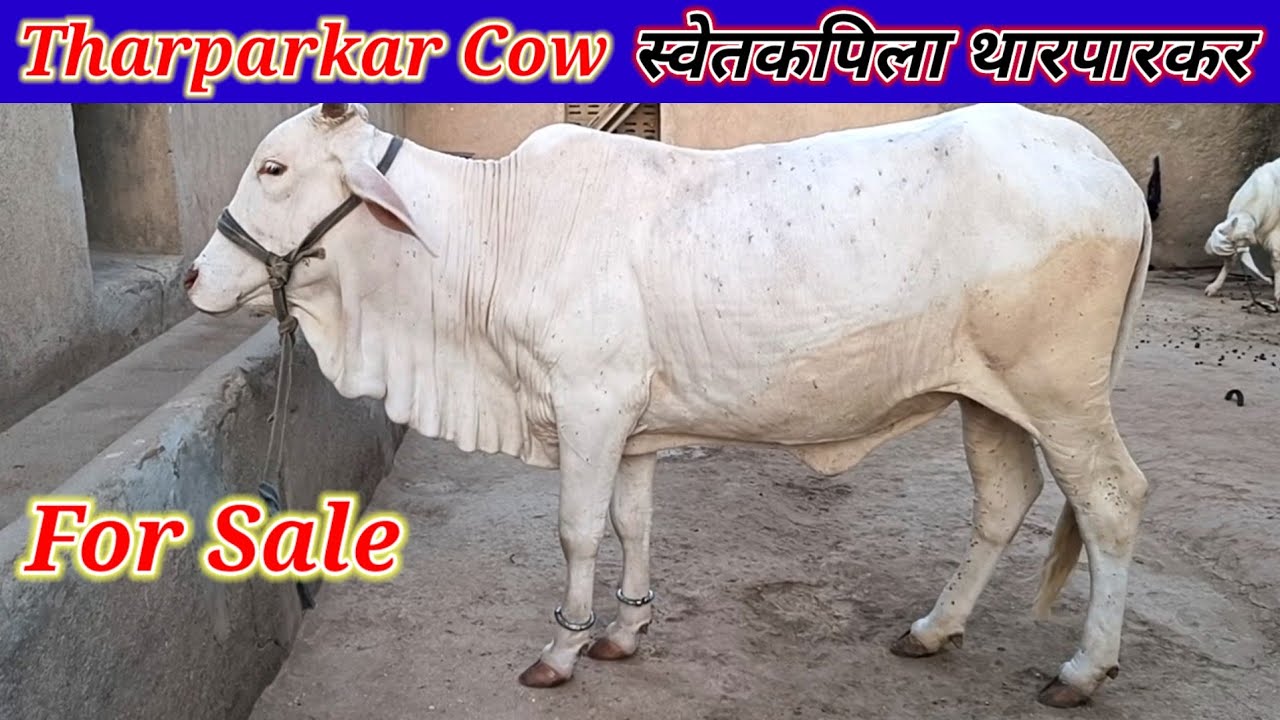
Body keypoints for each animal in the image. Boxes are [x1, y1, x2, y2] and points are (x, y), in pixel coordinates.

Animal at [186, 102, 1152, 708]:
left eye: (273, 167)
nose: (195, 276)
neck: (492, 233)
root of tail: (1105, 164)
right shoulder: (633, 428)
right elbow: (633, 523)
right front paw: (625, 631)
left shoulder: (588, 404)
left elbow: (578, 531)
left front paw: (564, 648)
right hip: (985, 396)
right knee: (1004, 502)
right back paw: (934, 628)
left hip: (1061, 394)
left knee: (1111, 503)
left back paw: (1084, 668)